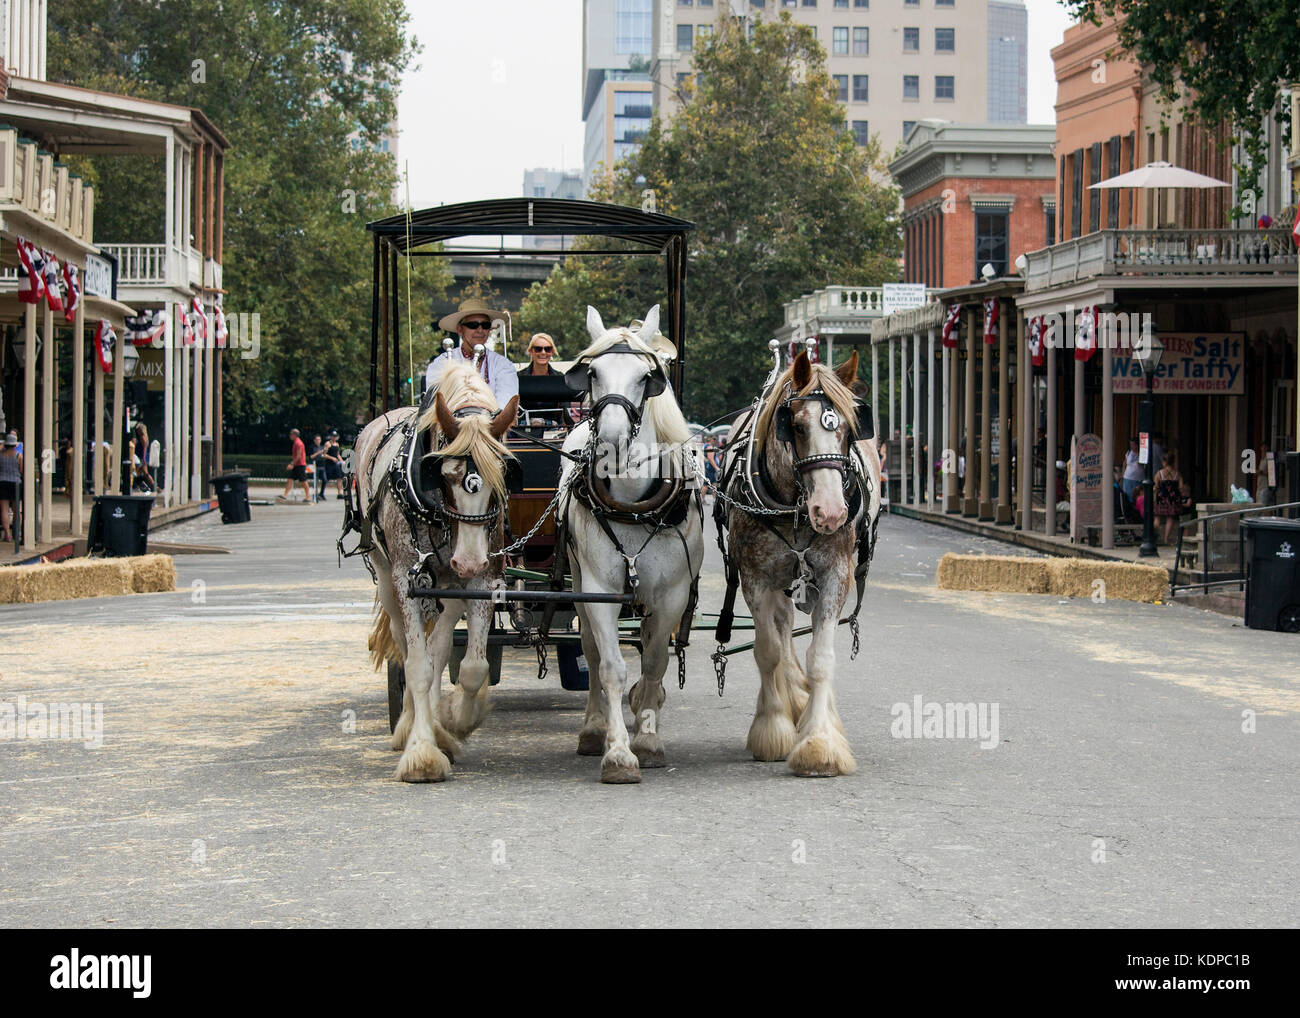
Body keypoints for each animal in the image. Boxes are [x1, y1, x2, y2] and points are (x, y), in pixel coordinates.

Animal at [351, 363, 518, 783]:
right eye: (444, 475)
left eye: (503, 477)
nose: (468, 560)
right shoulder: (408, 579)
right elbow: (417, 666)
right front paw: (422, 753)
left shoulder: (481, 580)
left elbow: (472, 666)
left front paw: (456, 720)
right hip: (389, 576)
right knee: (408, 648)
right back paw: (409, 725)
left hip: (449, 585)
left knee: (440, 648)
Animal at [558, 305, 705, 783]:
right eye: (592, 373)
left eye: (646, 377)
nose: (610, 439)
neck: (633, 505)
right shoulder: (599, 590)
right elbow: (610, 668)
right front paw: (619, 751)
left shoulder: (671, 594)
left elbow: (655, 663)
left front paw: (648, 737)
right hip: (576, 582)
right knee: (588, 650)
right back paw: (593, 729)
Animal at [718, 349, 881, 777]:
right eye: (796, 426)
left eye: (850, 428)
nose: (831, 511)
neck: (792, 510)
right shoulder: (755, 579)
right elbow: (768, 652)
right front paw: (774, 728)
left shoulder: (835, 574)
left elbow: (820, 658)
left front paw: (820, 744)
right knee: (780, 632)